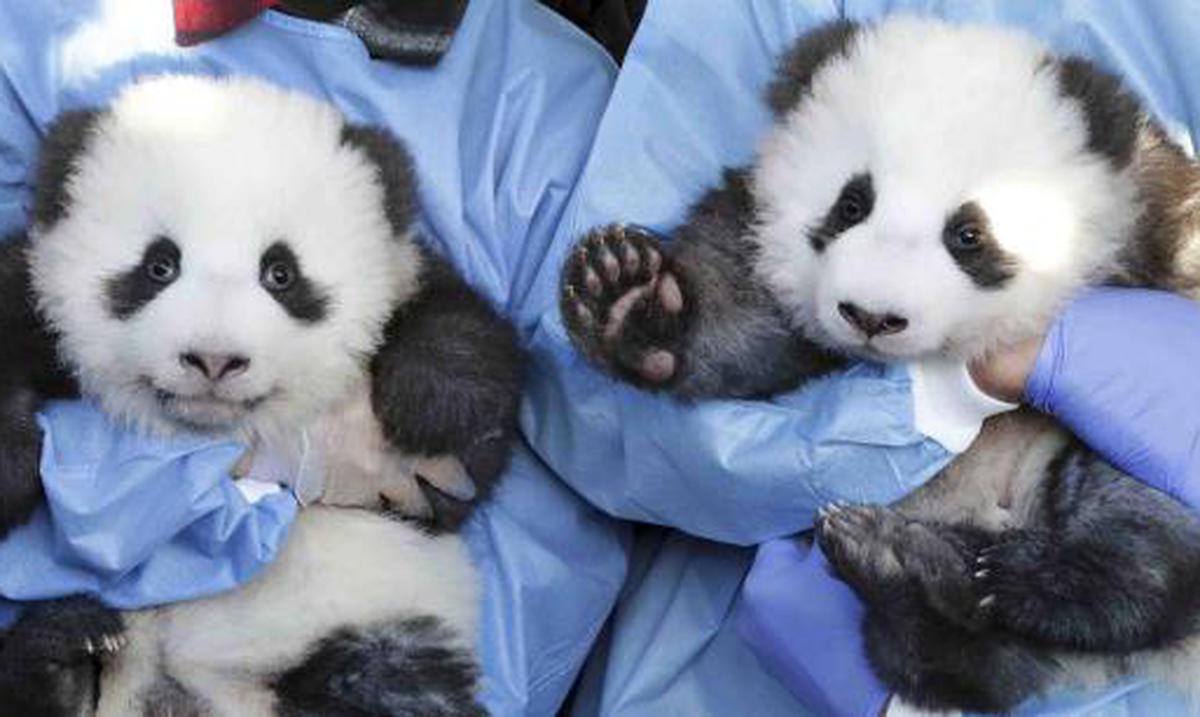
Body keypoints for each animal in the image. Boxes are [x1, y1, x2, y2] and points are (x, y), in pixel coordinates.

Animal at [0, 75, 523, 716]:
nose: (214, 359)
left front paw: (431, 401)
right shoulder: (34, 305)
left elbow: (461, 464)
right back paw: (63, 653)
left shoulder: (416, 490)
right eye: (159, 265)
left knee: (391, 685)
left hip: (377, 624)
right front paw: (15, 453)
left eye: (281, 273)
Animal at [560, 16, 1200, 713]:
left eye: (967, 234)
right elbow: (742, 327)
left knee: (1141, 524)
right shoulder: (764, 242)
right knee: (967, 663)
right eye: (851, 204)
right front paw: (628, 300)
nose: (870, 316)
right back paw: (907, 572)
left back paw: (1034, 580)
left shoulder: (1147, 212)